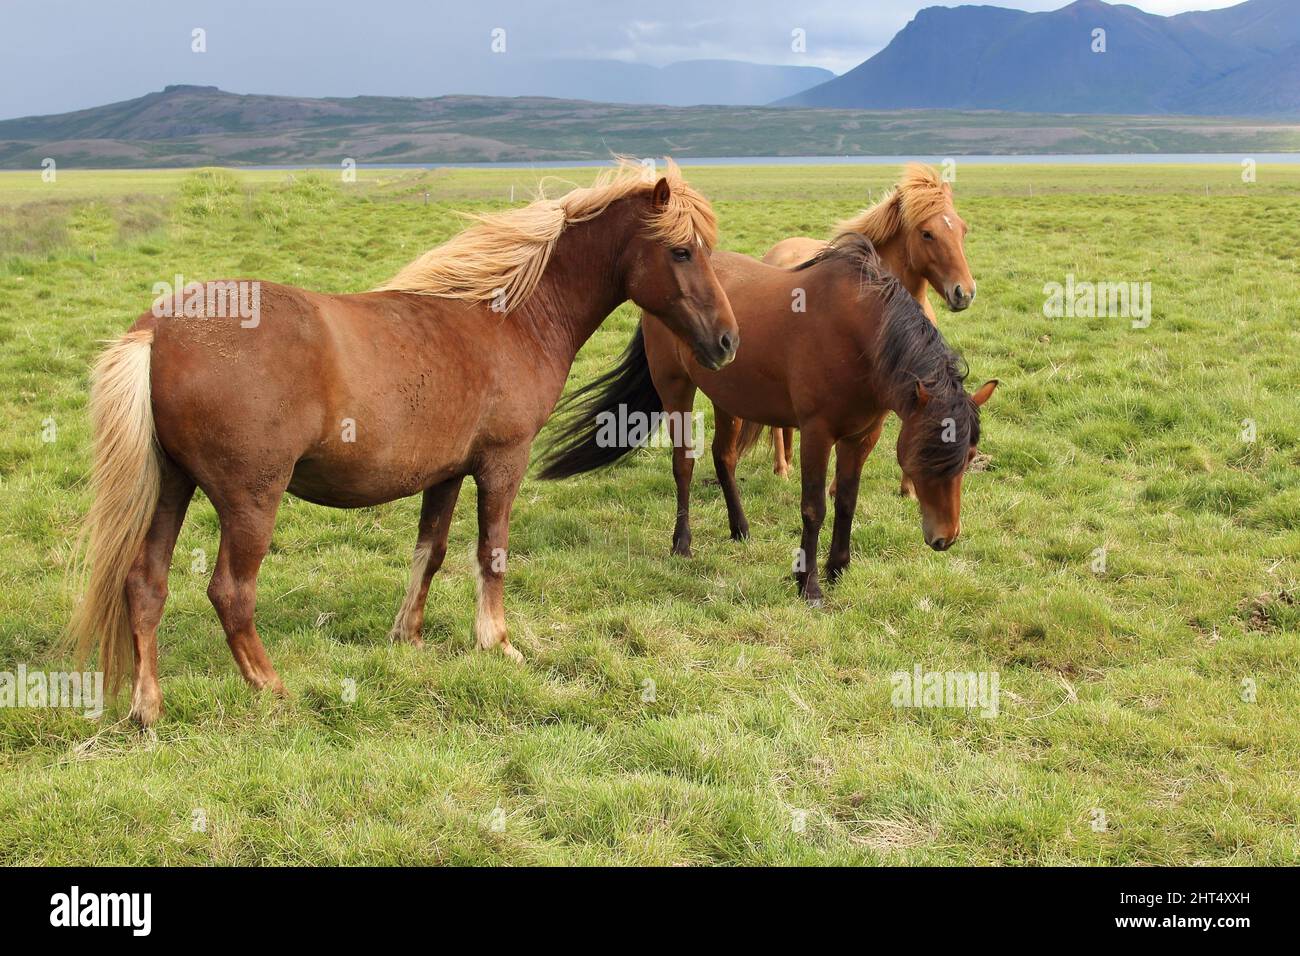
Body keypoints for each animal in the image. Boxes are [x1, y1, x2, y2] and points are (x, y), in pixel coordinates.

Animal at [66, 159, 739, 726]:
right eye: (682, 251)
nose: (728, 342)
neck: (507, 318)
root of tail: (157, 332)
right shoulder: (502, 463)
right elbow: (491, 552)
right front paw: (497, 642)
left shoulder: (445, 473)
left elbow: (430, 553)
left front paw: (408, 636)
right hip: (250, 499)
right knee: (230, 593)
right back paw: (272, 687)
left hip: (171, 488)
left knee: (145, 584)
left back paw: (148, 707)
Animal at [539, 235, 997, 605]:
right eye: (923, 458)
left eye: (968, 458)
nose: (944, 538)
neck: (859, 334)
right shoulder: (816, 432)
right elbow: (814, 507)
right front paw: (808, 586)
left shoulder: (861, 437)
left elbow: (846, 501)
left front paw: (838, 569)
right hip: (676, 389)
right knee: (684, 464)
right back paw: (682, 544)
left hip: (728, 396)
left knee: (724, 458)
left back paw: (740, 528)